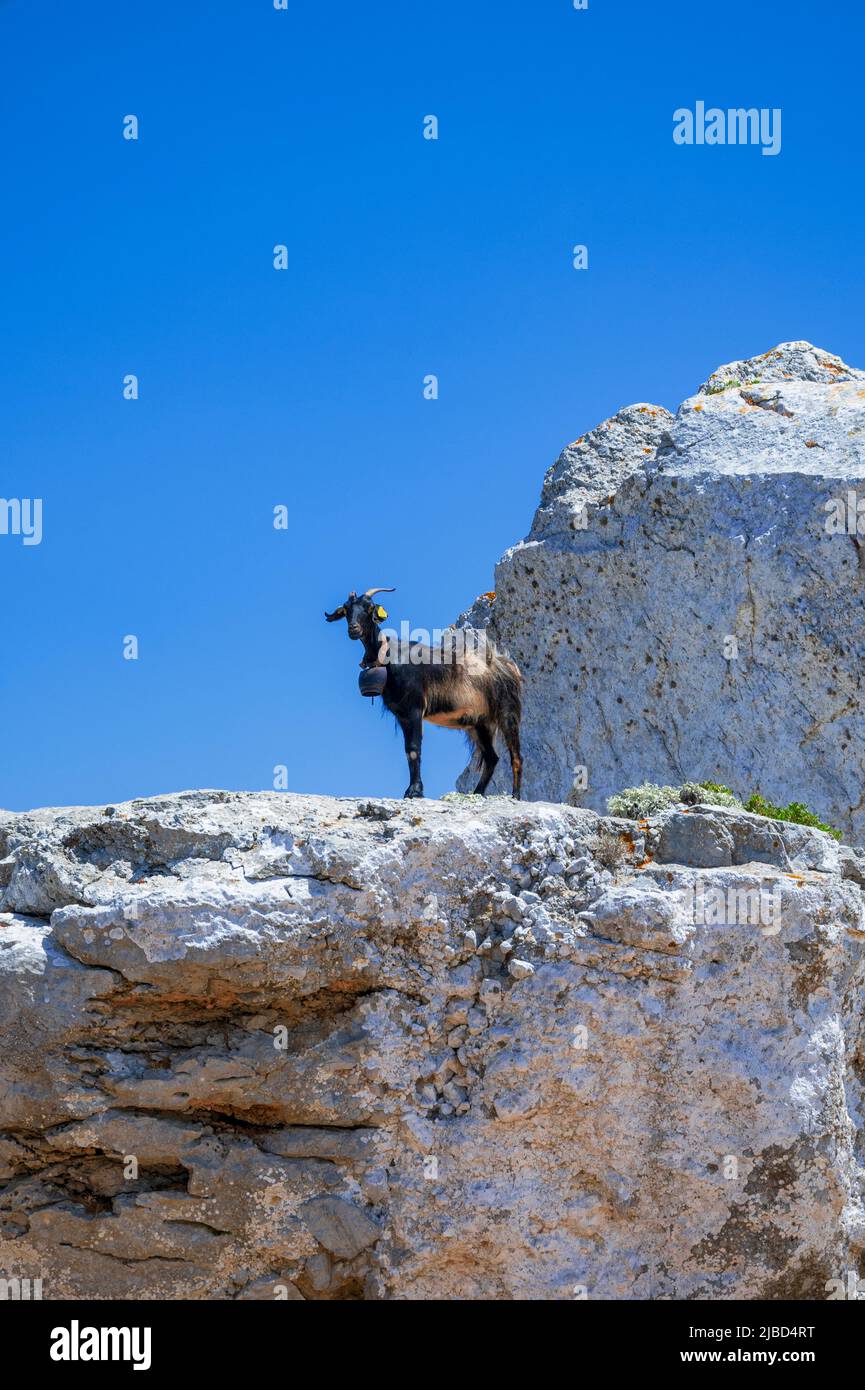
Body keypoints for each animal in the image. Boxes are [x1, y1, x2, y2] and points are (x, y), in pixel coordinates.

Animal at [325, 587, 522, 799]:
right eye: (346, 610)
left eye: (369, 608)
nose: (353, 629)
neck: (390, 656)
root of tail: (506, 664)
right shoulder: (402, 714)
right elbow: (408, 750)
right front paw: (412, 790)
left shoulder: (415, 708)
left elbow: (413, 749)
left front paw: (414, 791)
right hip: (479, 723)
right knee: (492, 757)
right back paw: (477, 793)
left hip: (507, 712)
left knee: (516, 756)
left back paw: (516, 795)